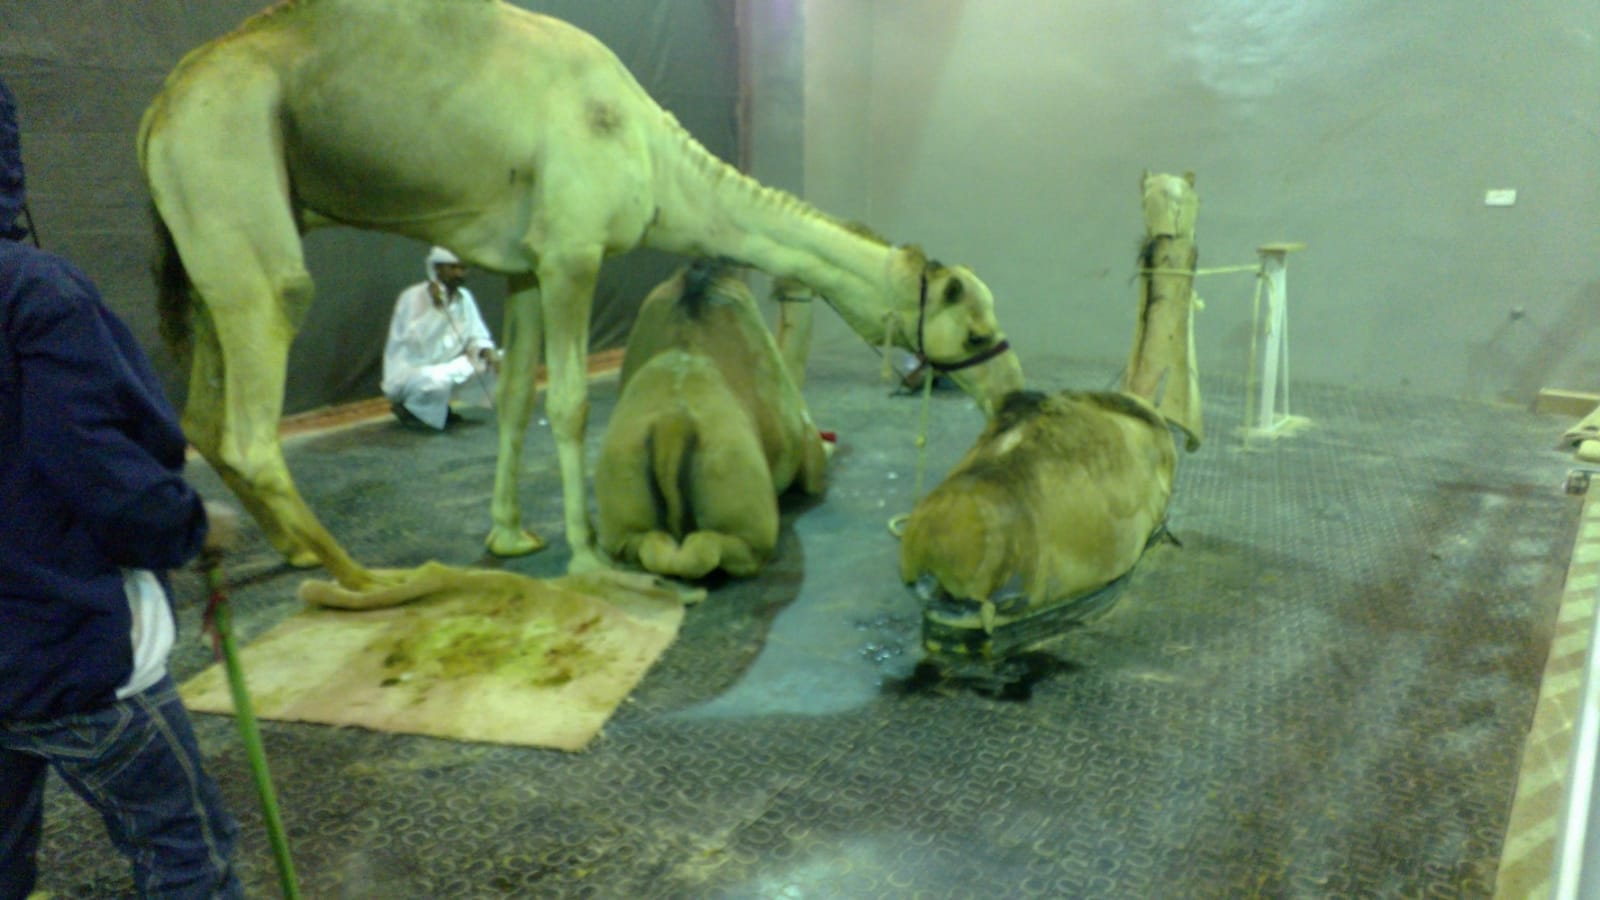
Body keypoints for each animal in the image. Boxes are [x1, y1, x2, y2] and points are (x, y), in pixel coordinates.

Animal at [594, 260, 828, 579]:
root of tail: (672, 426)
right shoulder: (806, 436)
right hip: (736, 482)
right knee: (718, 547)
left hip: (621, 483)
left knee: (645, 545)